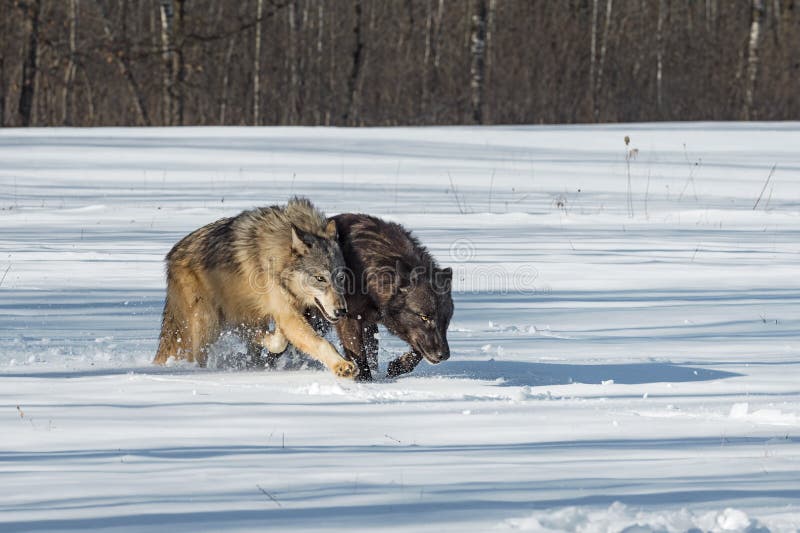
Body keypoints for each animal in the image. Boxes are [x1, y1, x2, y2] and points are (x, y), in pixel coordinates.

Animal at [153, 197, 359, 378]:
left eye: (340, 277)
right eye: (320, 278)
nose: (341, 311)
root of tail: (172, 253)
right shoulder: (286, 312)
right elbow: (316, 342)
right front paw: (342, 366)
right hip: (207, 323)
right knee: (197, 355)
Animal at [303, 214, 453, 381]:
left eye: (446, 320)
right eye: (424, 317)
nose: (444, 355)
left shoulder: (369, 321)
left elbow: (417, 351)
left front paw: (398, 366)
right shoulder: (348, 318)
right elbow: (357, 353)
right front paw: (366, 381)